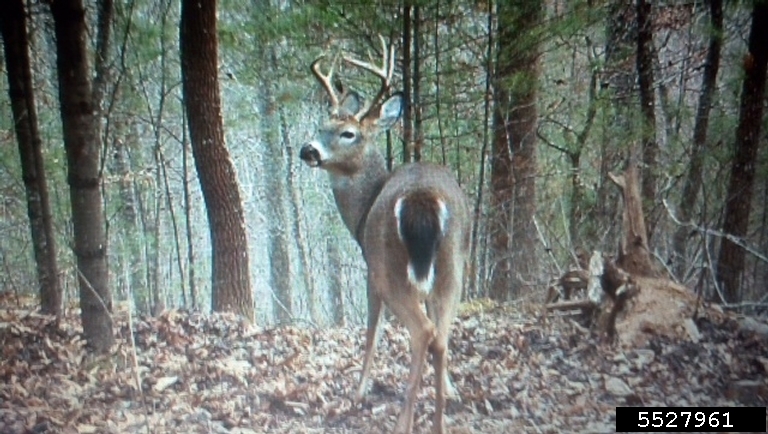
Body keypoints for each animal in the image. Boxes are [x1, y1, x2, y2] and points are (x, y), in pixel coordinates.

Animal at [299, 37, 470, 434]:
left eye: (348, 133)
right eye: (321, 125)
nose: (307, 150)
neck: (362, 210)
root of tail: (423, 199)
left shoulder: (370, 270)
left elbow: (371, 333)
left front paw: (358, 391)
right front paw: (452, 387)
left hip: (389, 265)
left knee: (423, 332)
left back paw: (403, 421)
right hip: (452, 265)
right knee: (440, 335)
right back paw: (438, 421)